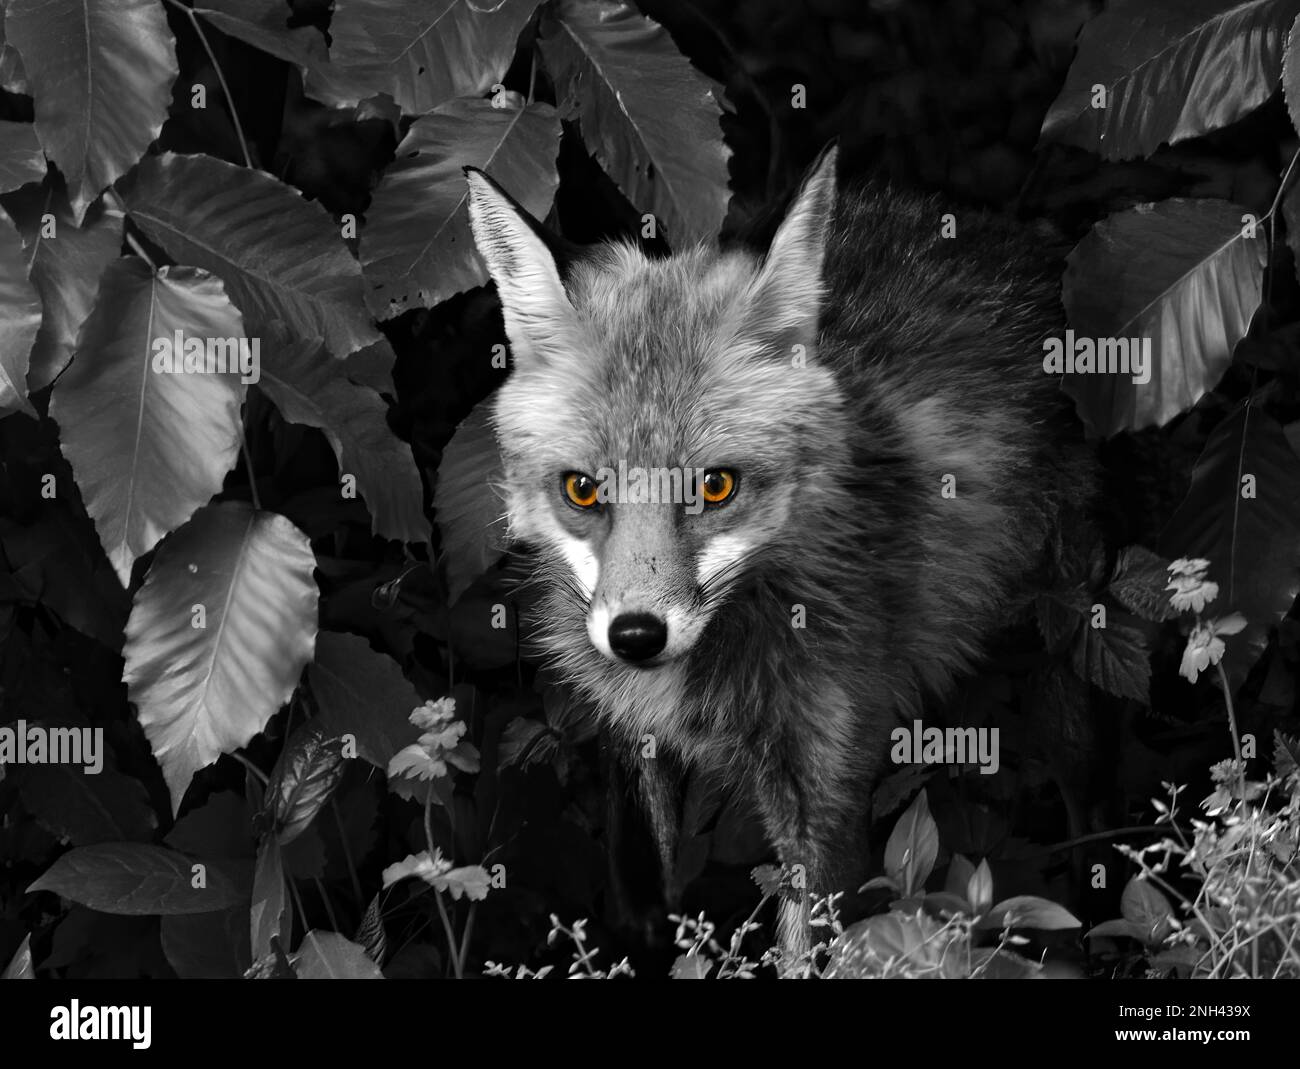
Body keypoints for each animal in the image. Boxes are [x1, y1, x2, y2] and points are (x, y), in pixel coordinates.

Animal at [464, 145, 1097, 964]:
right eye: (581, 489)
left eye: (716, 485)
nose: (636, 636)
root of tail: (1009, 232)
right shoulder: (634, 747)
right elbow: (652, 901)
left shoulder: (824, 788)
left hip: (1065, 659)